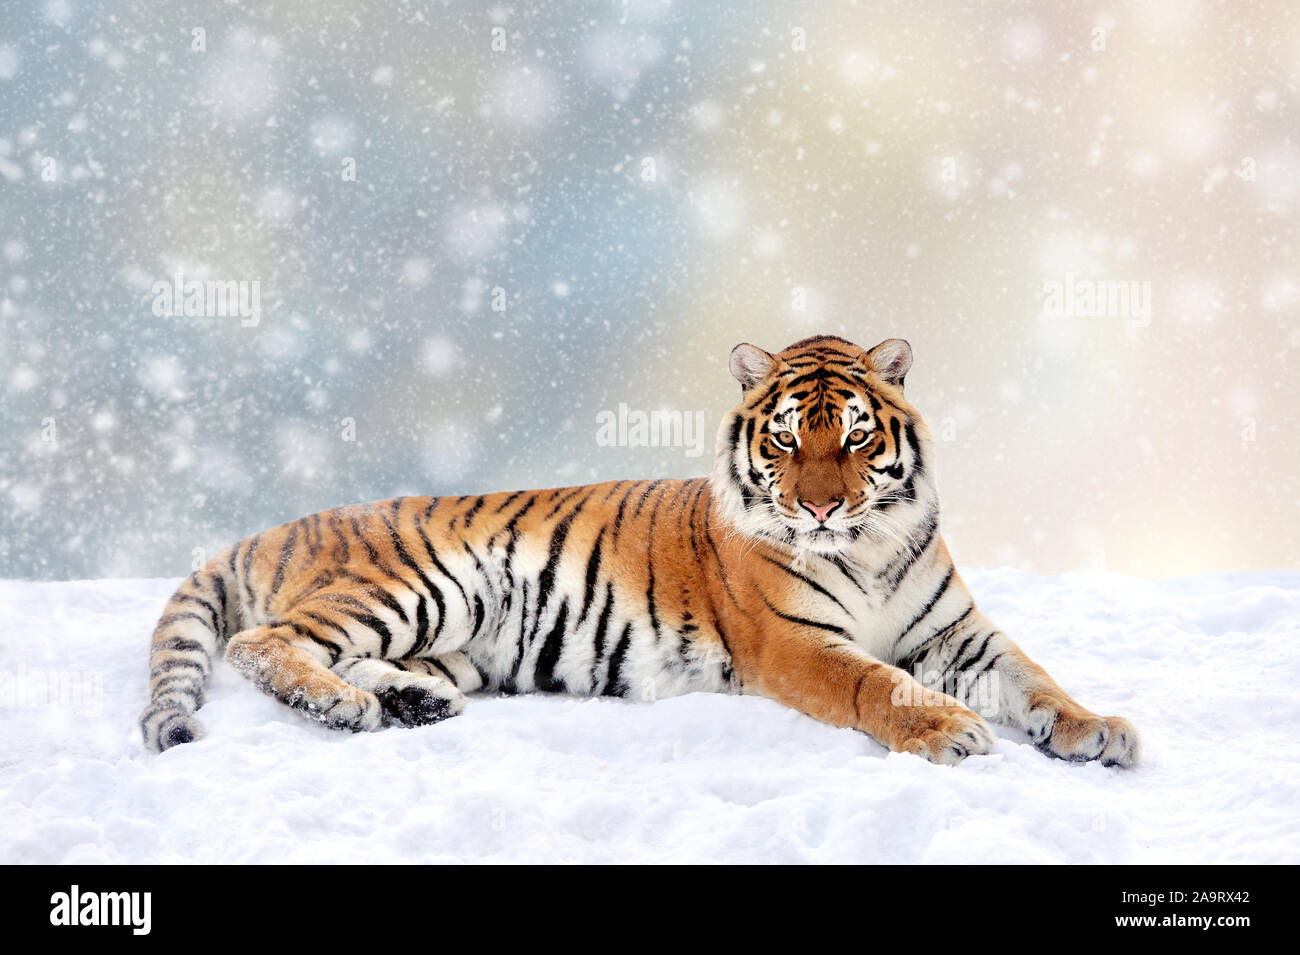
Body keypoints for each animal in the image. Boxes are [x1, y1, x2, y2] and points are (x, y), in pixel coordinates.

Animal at [140, 334, 1140, 767]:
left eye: (855, 437)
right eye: (787, 438)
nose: (818, 507)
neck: (872, 545)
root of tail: (284, 523)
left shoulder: (958, 633)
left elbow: (1035, 676)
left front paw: (1097, 728)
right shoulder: (795, 642)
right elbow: (878, 683)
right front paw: (949, 730)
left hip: (449, 640)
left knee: (353, 659)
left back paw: (409, 704)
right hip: (421, 584)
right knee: (263, 644)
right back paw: (343, 708)